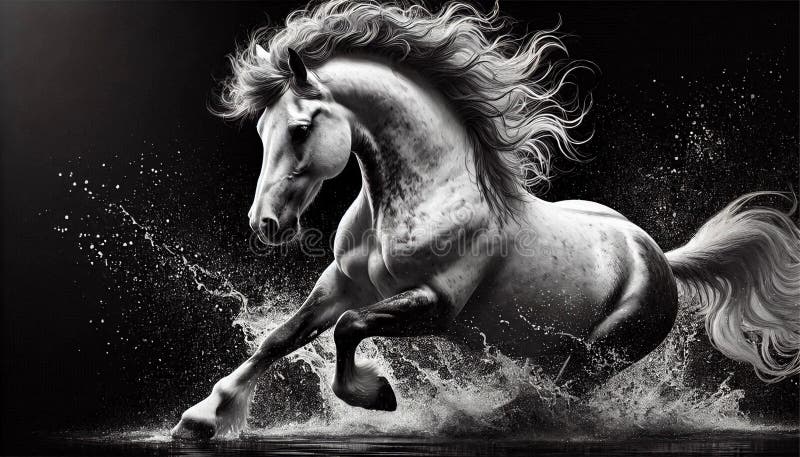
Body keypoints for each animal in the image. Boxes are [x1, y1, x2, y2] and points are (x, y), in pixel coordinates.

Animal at [171, 0, 800, 439]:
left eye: (301, 128)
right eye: (261, 129)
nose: (264, 223)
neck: (426, 195)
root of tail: (661, 260)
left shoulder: (438, 303)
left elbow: (350, 327)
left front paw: (376, 394)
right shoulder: (341, 283)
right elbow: (283, 337)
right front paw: (201, 418)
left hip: (600, 351)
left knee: (563, 396)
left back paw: (500, 418)